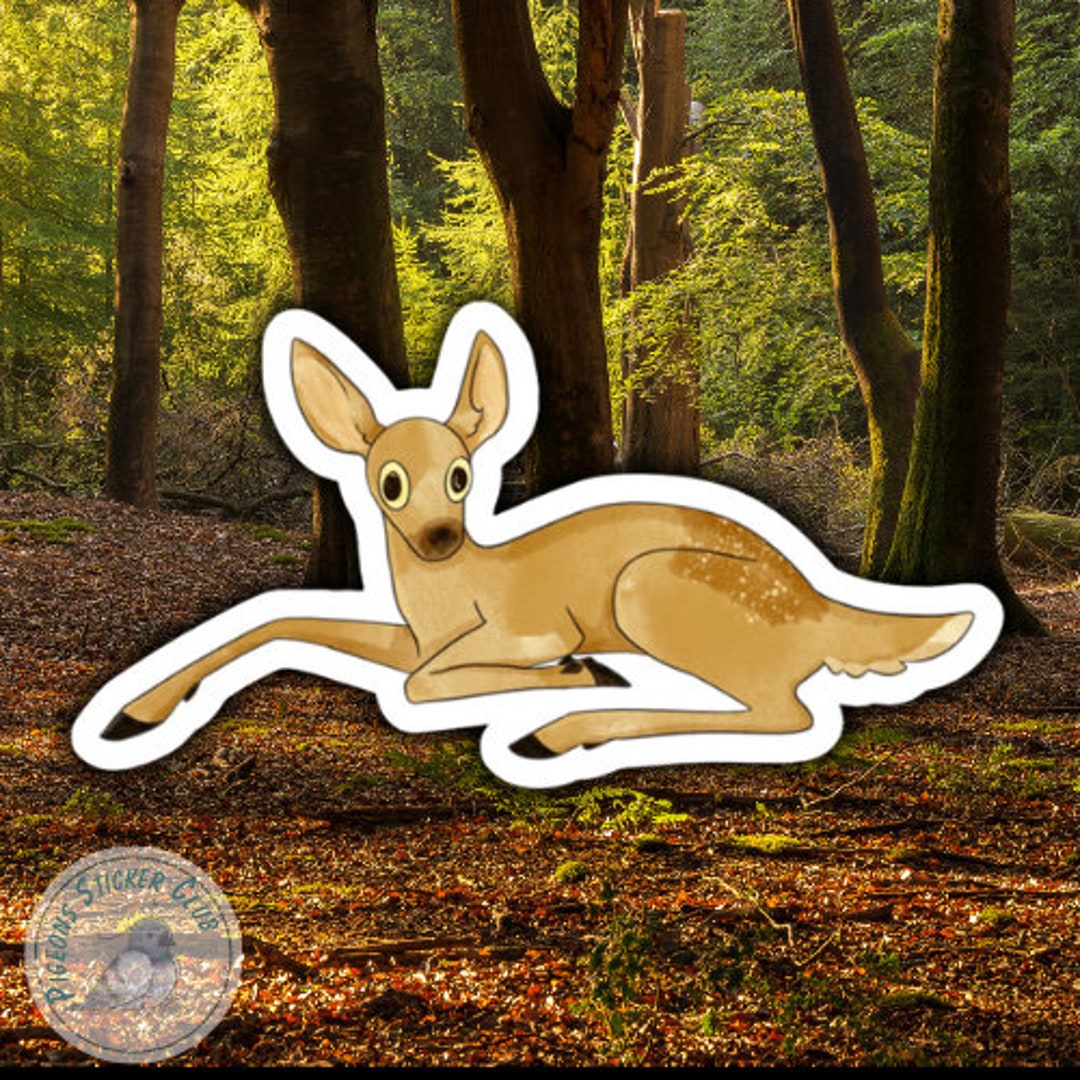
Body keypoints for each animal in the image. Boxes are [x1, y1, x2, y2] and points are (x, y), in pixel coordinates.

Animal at [72, 302, 1003, 789]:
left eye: (461, 474)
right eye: (389, 482)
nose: (440, 535)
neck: (452, 588)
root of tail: (817, 601)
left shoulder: (533, 622)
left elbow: (422, 681)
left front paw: (565, 677)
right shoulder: (409, 630)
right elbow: (282, 622)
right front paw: (134, 711)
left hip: (650, 588)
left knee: (785, 710)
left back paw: (559, 730)